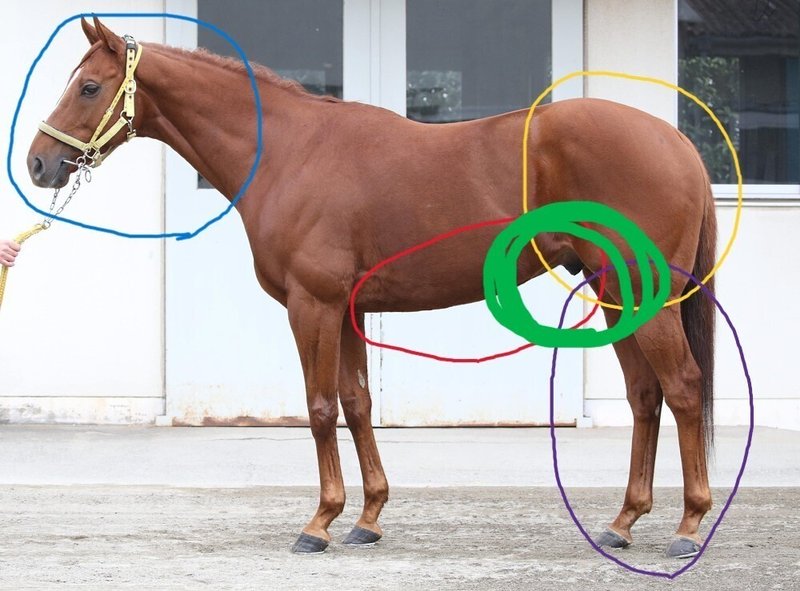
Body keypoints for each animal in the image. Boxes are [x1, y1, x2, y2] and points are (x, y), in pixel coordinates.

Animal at [27, 17, 716, 559]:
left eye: (89, 87)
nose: (38, 163)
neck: (291, 152)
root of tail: (678, 143)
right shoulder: (349, 308)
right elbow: (357, 404)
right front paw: (366, 519)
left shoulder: (313, 305)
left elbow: (319, 408)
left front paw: (318, 524)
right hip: (615, 296)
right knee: (645, 395)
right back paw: (622, 522)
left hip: (641, 296)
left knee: (683, 388)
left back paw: (687, 526)